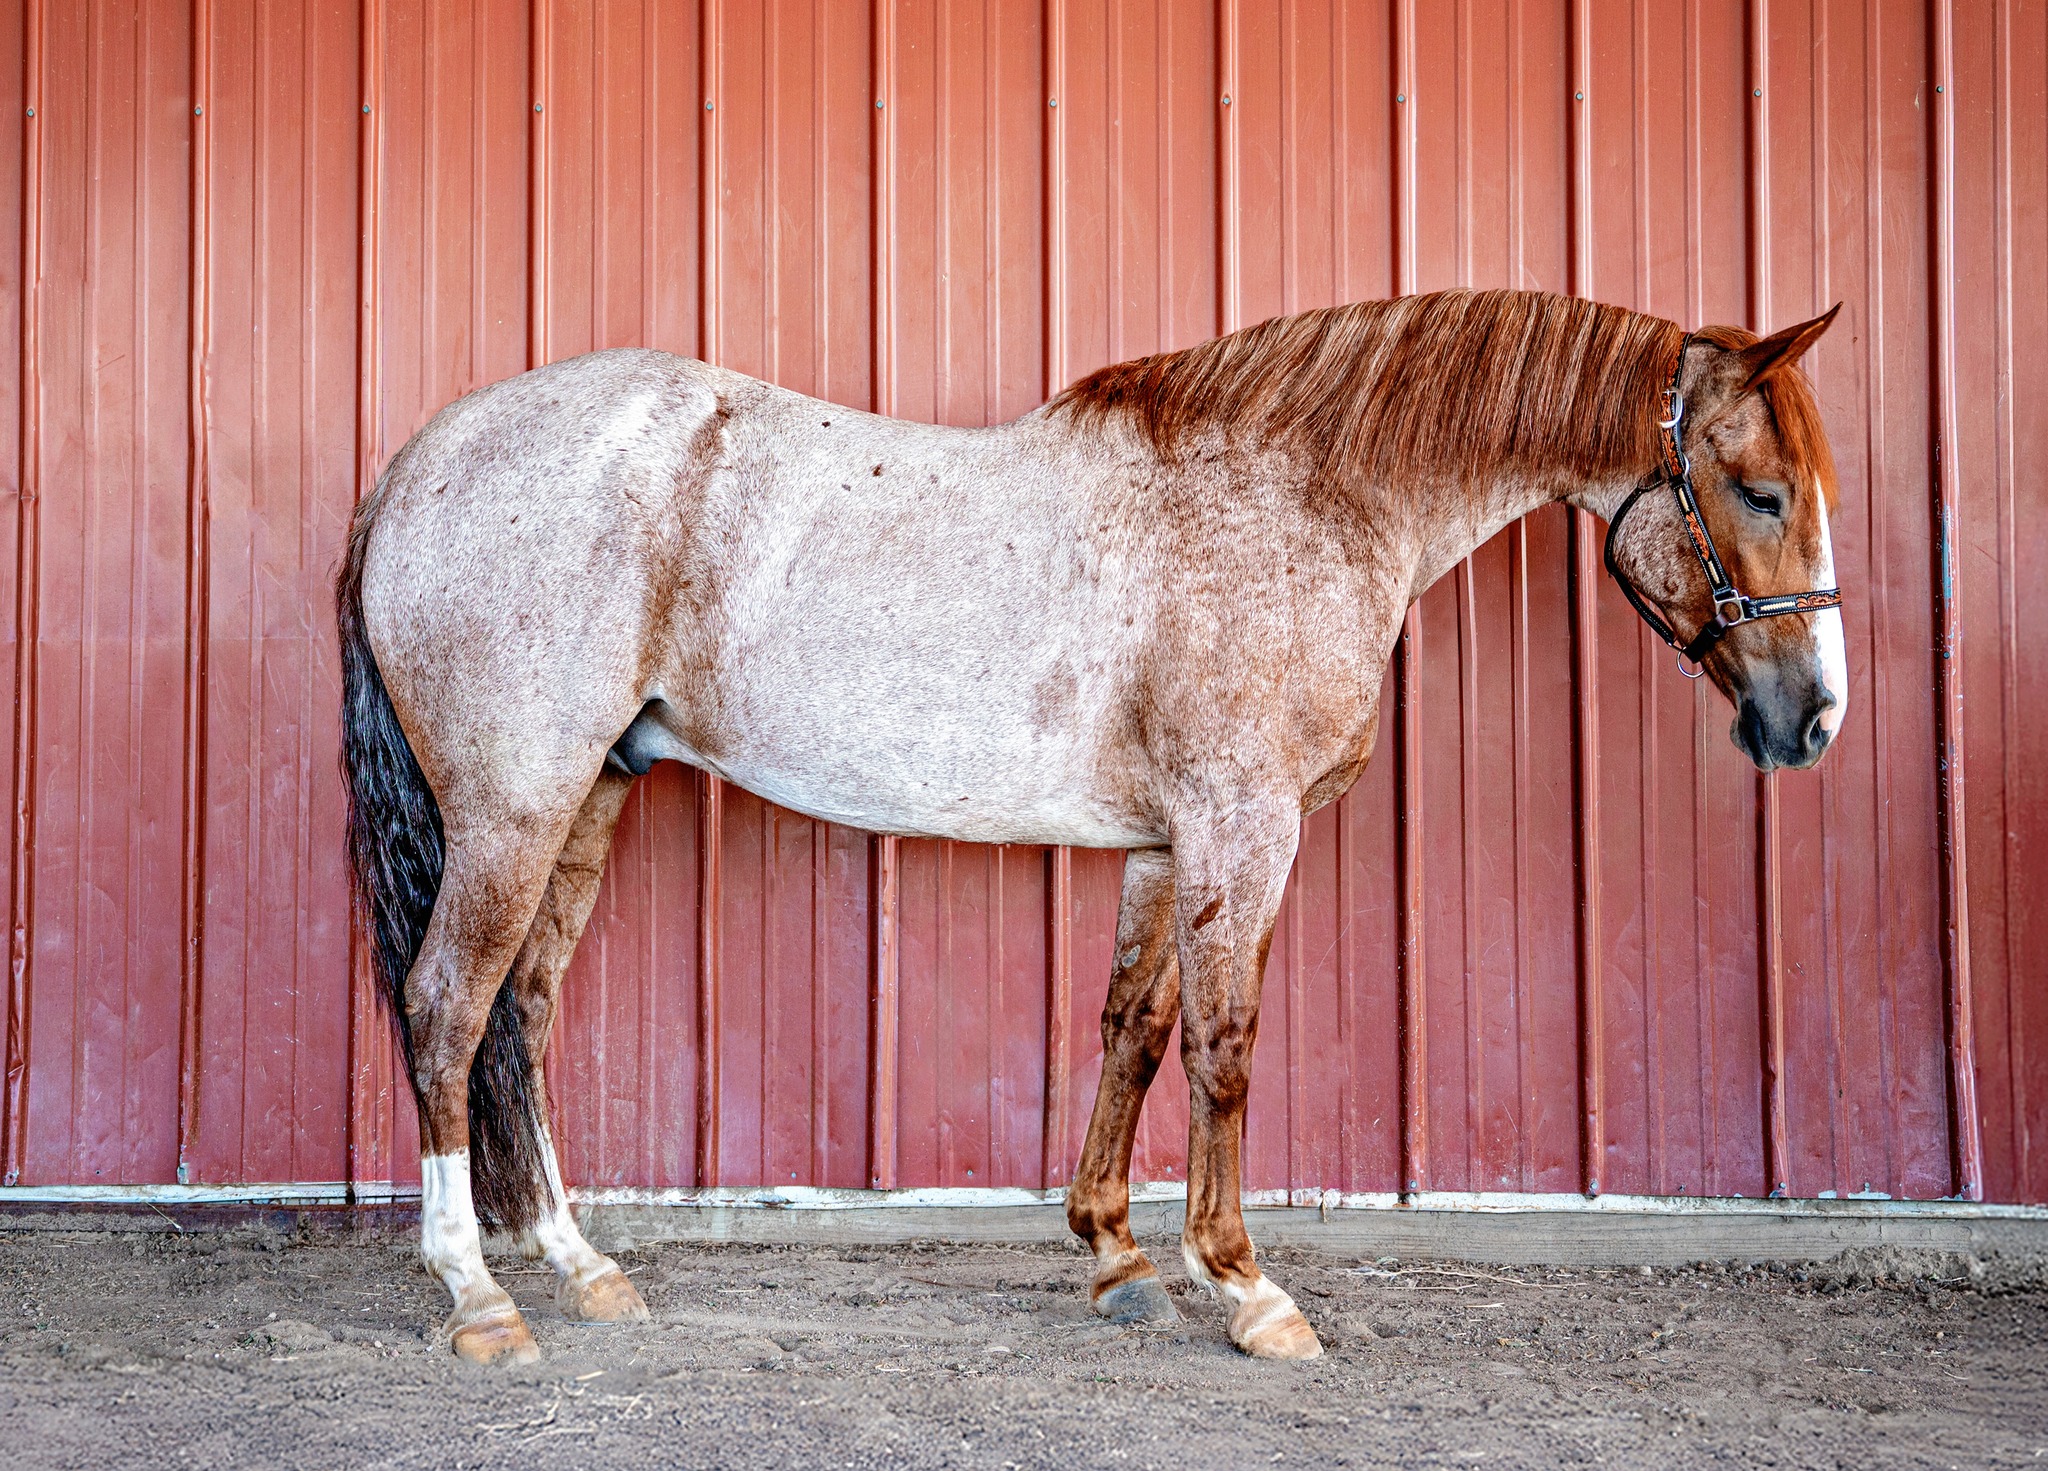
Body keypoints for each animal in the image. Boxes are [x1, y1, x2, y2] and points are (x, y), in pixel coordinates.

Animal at [337, 287, 1846, 1365]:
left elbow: (1133, 1024)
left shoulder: (1165, 844)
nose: (1813, 718)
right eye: (1759, 488)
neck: (1297, 496)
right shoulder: (1243, 827)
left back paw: (582, 1265)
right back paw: (478, 1298)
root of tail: (420, 458)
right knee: (448, 1006)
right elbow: (1226, 1047)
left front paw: (1116, 1256)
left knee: (524, 1010)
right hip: (514, 804)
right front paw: (1243, 1284)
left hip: (589, 792)